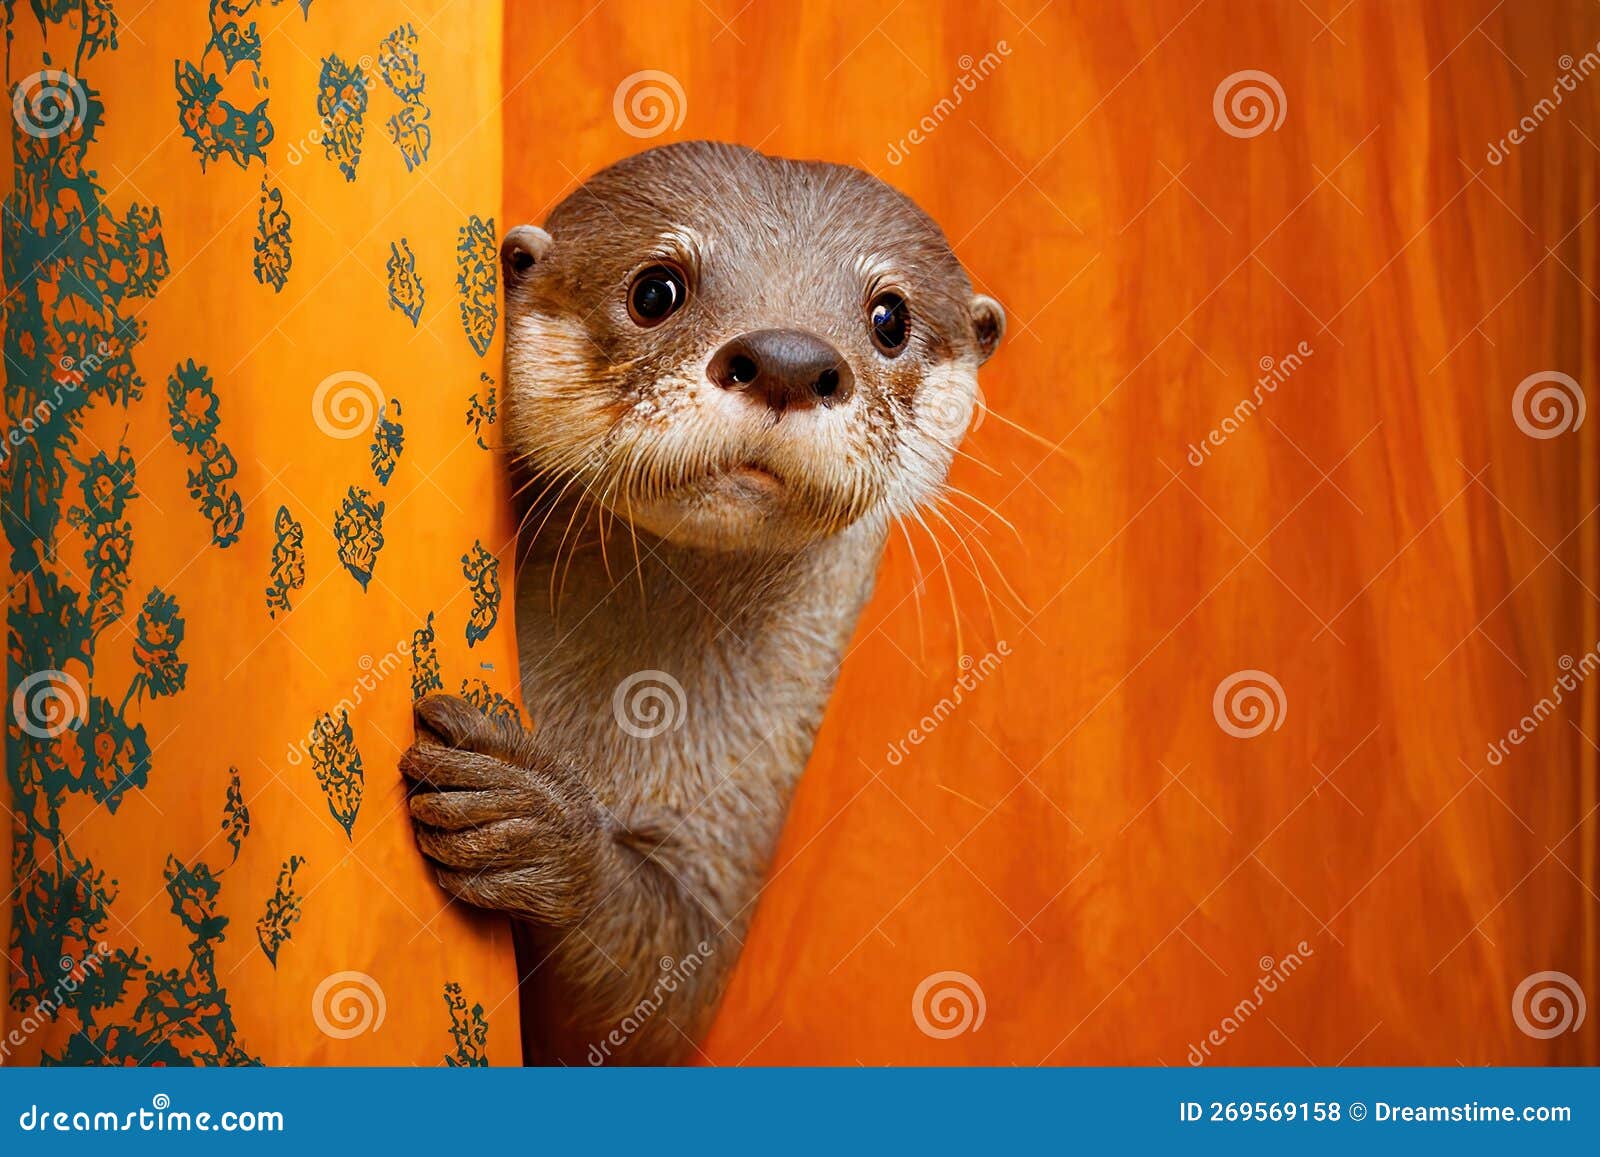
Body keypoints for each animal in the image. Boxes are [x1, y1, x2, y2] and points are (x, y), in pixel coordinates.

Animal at [399, 141, 1004, 1064]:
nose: (789, 358)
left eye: (890, 317)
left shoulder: (735, 832)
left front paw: (532, 821)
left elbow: (652, 1009)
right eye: (656, 289)